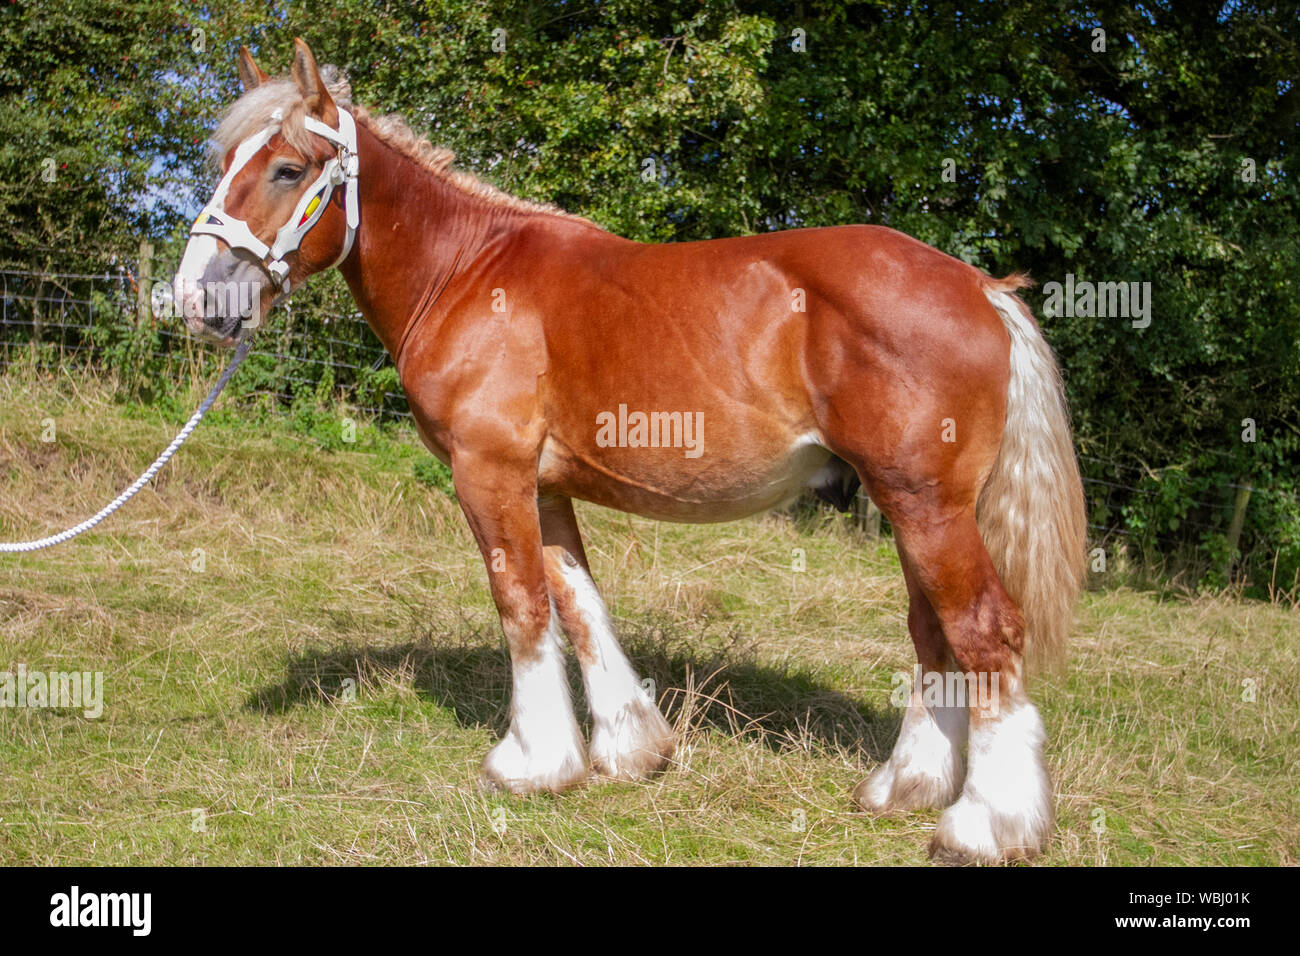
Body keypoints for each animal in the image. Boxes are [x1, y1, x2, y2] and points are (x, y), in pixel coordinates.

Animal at [174, 39, 1087, 864]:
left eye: (288, 169)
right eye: (223, 162)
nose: (194, 296)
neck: (466, 270)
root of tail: (982, 287)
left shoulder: (489, 474)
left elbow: (522, 607)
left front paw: (532, 763)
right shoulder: (543, 487)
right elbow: (579, 605)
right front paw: (628, 749)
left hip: (926, 506)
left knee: (982, 632)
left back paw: (985, 825)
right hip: (911, 508)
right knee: (934, 636)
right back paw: (907, 788)